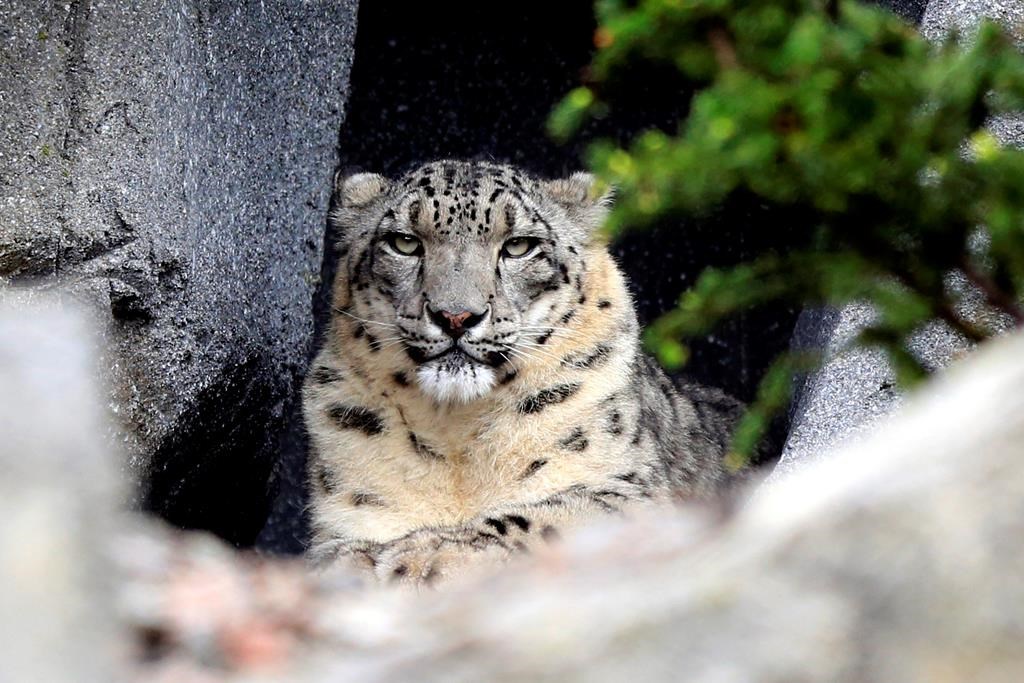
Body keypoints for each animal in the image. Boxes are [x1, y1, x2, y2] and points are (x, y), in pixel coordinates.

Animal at [302, 160, 745, 585]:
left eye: (518, 246)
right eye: (404, 242)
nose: (456, 316)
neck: (454, 433)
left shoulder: (631, 493)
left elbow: (548, 517)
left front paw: (428, 554)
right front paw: (356, 559)